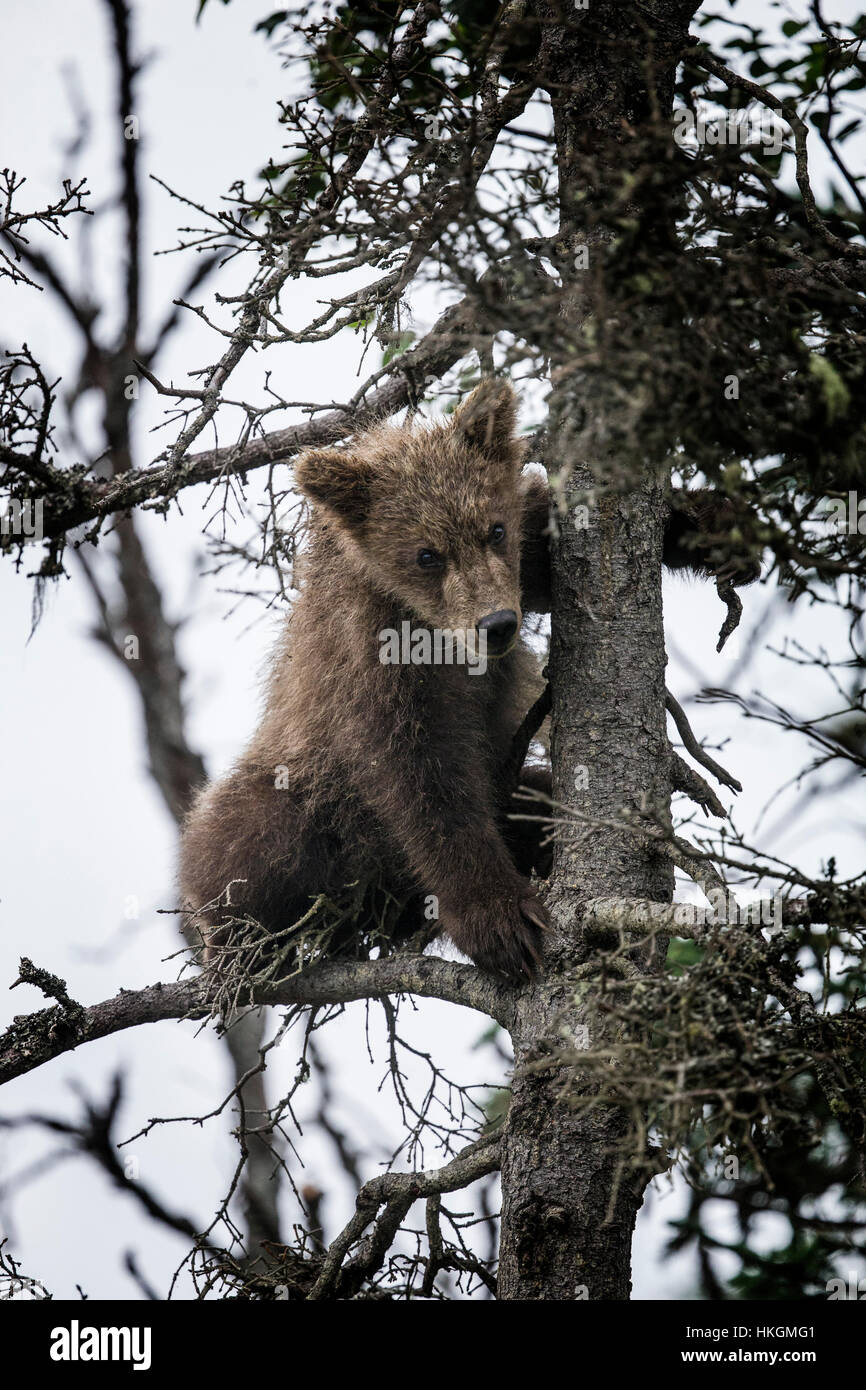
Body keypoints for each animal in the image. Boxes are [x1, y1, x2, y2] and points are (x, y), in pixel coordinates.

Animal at [179, 379, 759, 981]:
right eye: (426, 554)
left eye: (493, 530)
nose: (496, 625)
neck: (433, 631)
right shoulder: (372, 666)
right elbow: (425, 781)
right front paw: (500, 920)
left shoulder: (515, 569)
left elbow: (545, 548)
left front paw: (711, 523)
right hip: (301, 792)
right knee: (248, 834)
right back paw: (245, 941)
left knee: (531, 798)